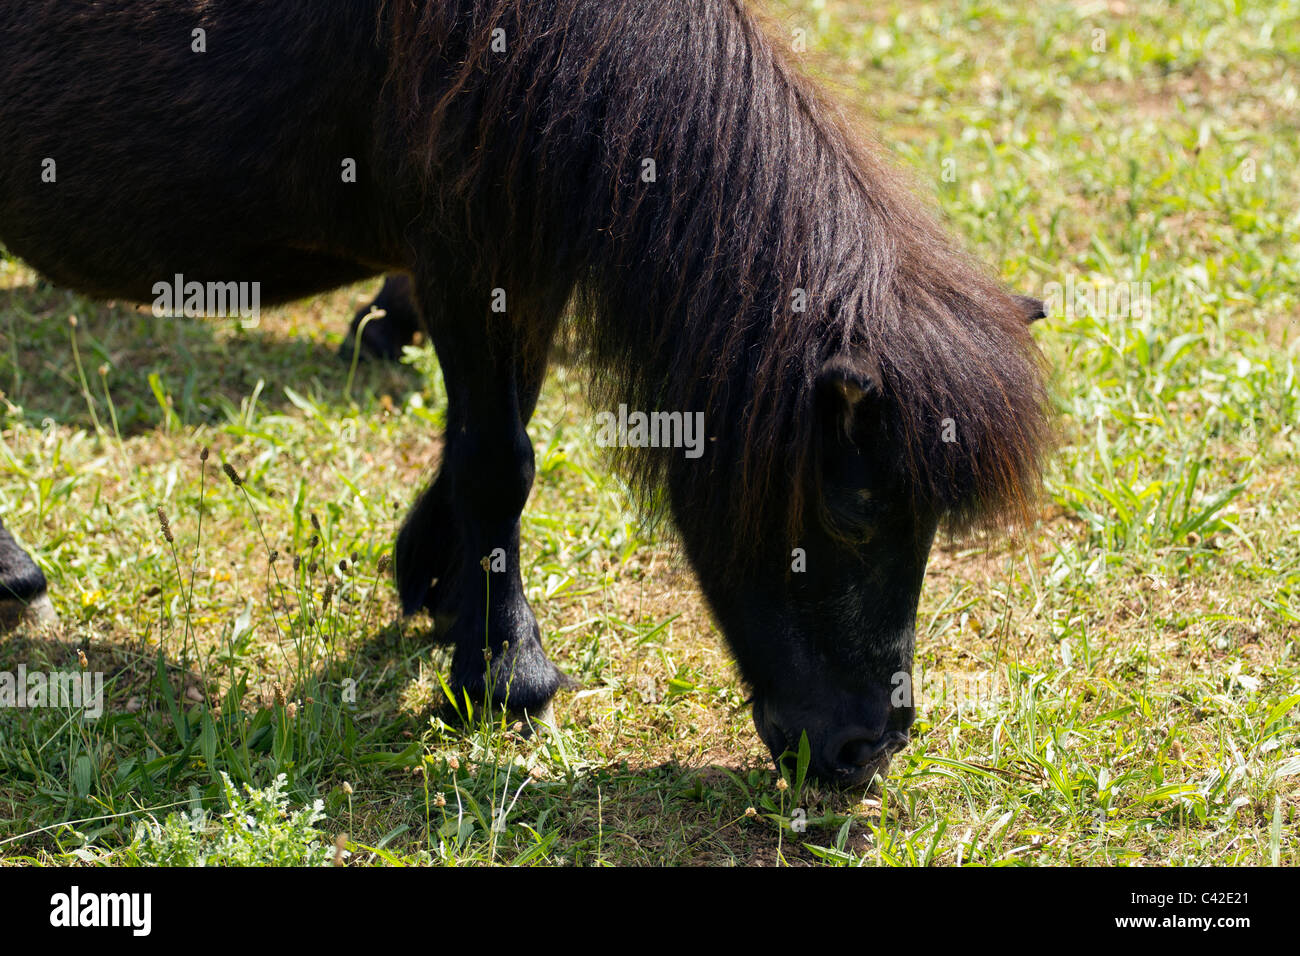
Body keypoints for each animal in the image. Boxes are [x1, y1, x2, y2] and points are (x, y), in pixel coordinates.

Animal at [0, 0, 1050, 786]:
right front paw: (509, 673)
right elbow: (498, 459)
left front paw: (444, 589)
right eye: (853, 511)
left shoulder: (529, 260)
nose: (868, 749)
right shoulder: (463, 256)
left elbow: (503, 428)